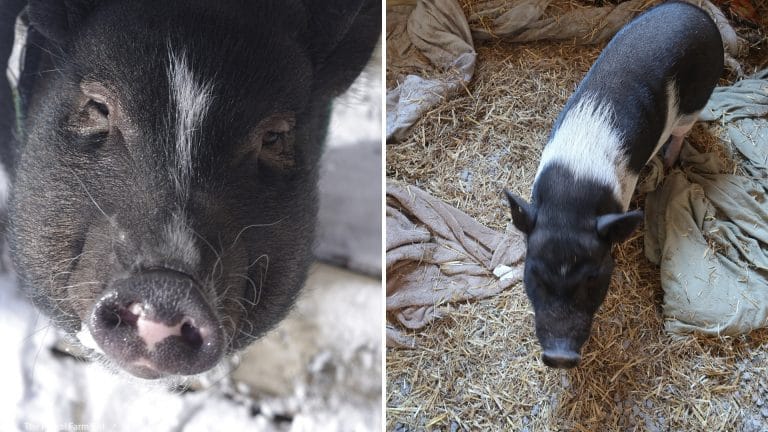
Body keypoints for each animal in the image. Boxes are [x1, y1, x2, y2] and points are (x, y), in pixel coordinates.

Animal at [505, 2, 723, 369]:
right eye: (534, 273)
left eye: (593, 277)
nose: (559, 356)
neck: (572, 197)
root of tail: (698, 13)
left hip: (696, 100)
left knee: (682, 130)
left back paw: (668, 160)